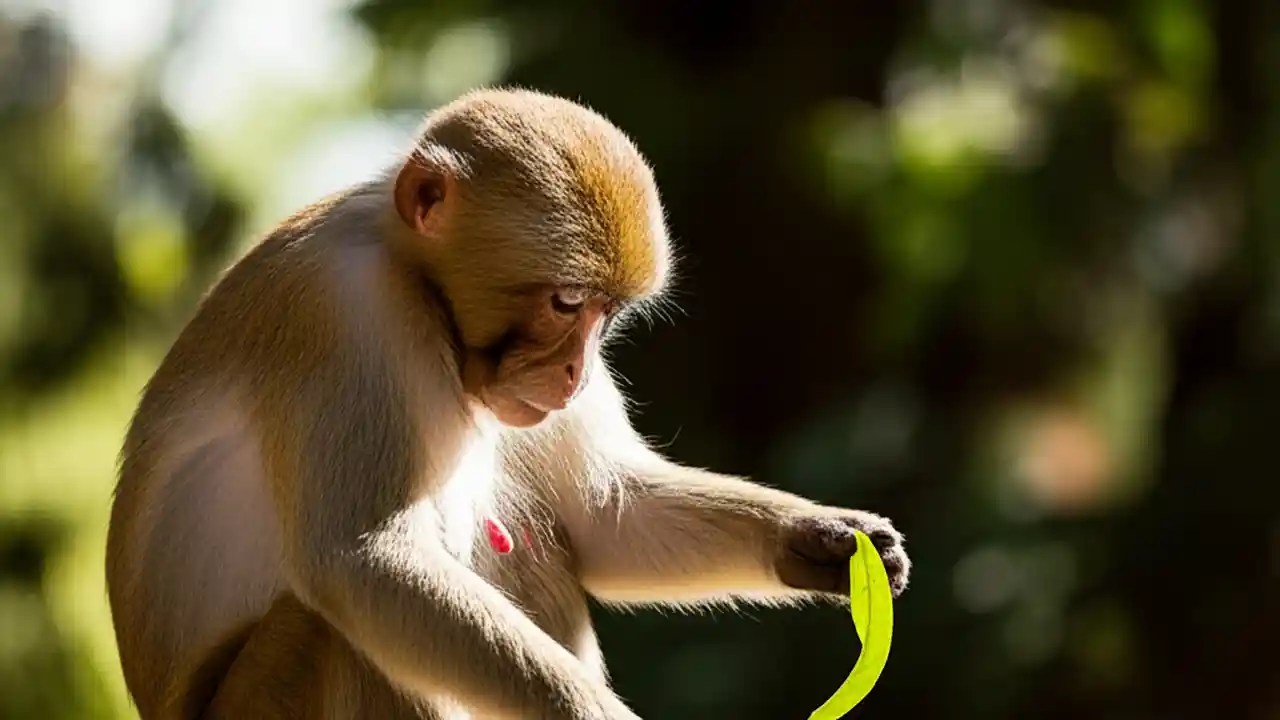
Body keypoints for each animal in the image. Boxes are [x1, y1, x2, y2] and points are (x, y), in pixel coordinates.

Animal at [105, 88, 911, 720]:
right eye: (565, 302)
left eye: (605, 315)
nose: (577, 374)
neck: (416, 283)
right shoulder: (344, 310)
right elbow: (362, 560)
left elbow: (604, 514)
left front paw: (825, 538)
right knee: (334, 631)